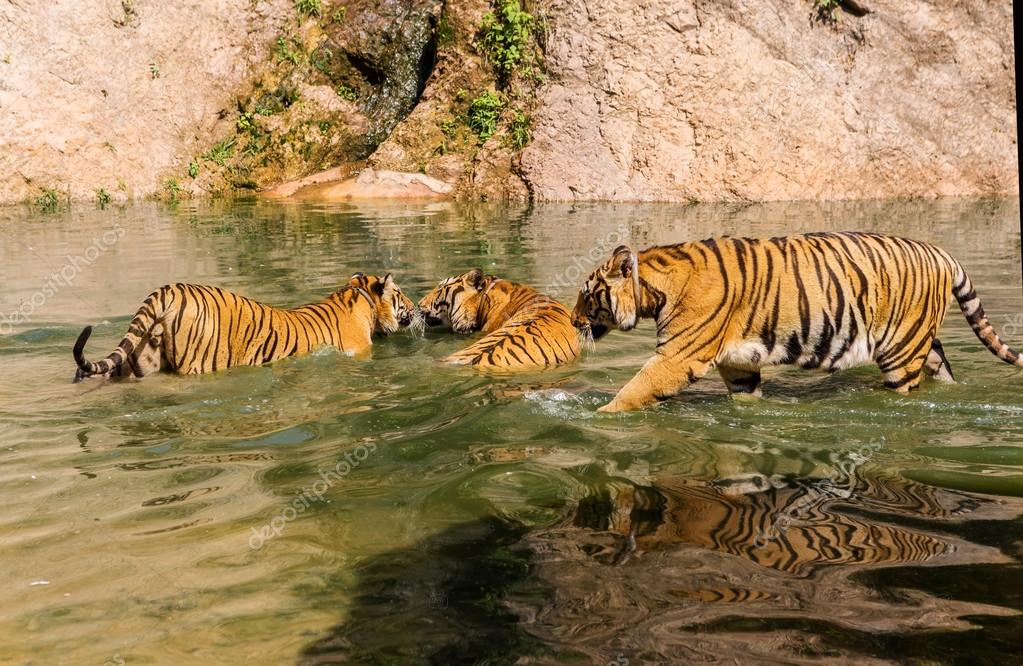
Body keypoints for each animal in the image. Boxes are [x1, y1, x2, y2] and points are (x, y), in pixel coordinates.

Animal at [571, 232, 1022, 412]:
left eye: (587, 294)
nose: (574, 320)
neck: (655, 287)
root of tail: (940, 251)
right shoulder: (738, 361)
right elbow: (745, 394)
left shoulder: (678, 356)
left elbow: (635, 389)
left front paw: (600, 415)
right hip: (917, 341)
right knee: (941, 363)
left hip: (901, 351)